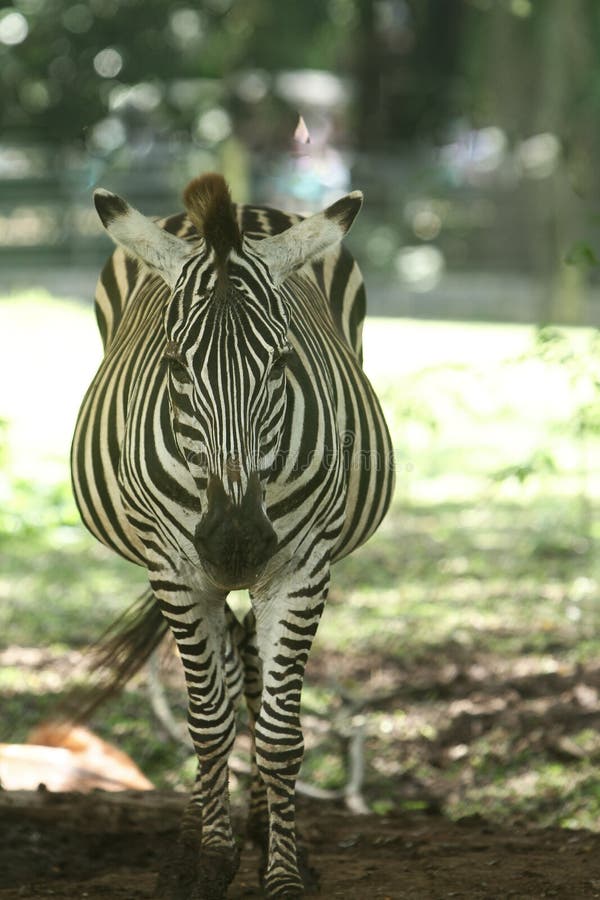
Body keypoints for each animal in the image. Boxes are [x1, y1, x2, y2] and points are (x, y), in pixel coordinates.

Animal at [71, 172, 394, 899]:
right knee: (219, 678)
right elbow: (208, 723)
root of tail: (244, 208)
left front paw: (282, 871)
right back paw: (192, 843)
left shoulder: (302, 570)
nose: (237, 541)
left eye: (279, 364)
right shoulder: (179, 570)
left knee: (246, 663)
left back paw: (266, 831)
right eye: (176, 367)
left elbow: (278, 736)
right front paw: (211, 861)